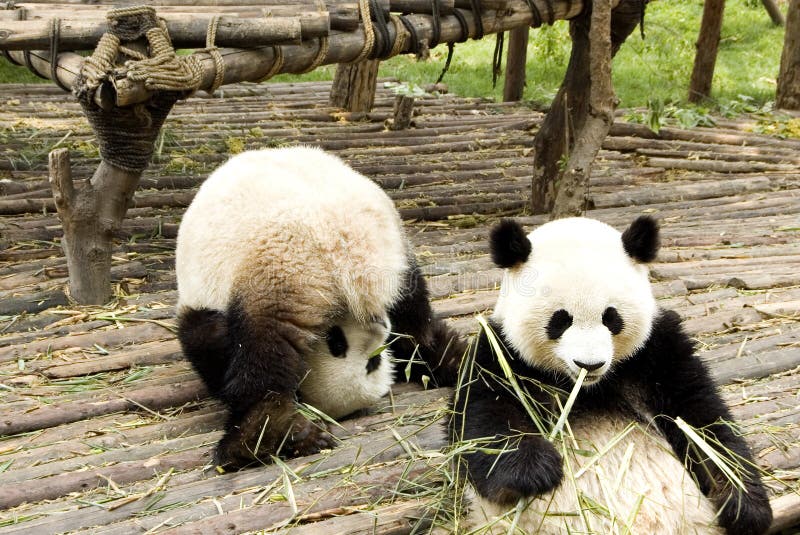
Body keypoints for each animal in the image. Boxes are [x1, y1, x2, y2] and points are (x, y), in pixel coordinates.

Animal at [176, 146, 464, 468]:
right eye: (372, 361)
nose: (381, 326)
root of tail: (338, 249)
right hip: (391, 253)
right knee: (415, 319)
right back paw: (455, 359)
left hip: (280, 272)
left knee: (264, 349)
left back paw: (260, 438)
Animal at [449, 216, 772, 535]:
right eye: (560, 320)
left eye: (611, 318)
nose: (589, 364)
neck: (587, 387)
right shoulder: (501, 352)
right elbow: (482, 416)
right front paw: (535, 470)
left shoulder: (657, 352)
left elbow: (701, 419)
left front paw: (744, 505)